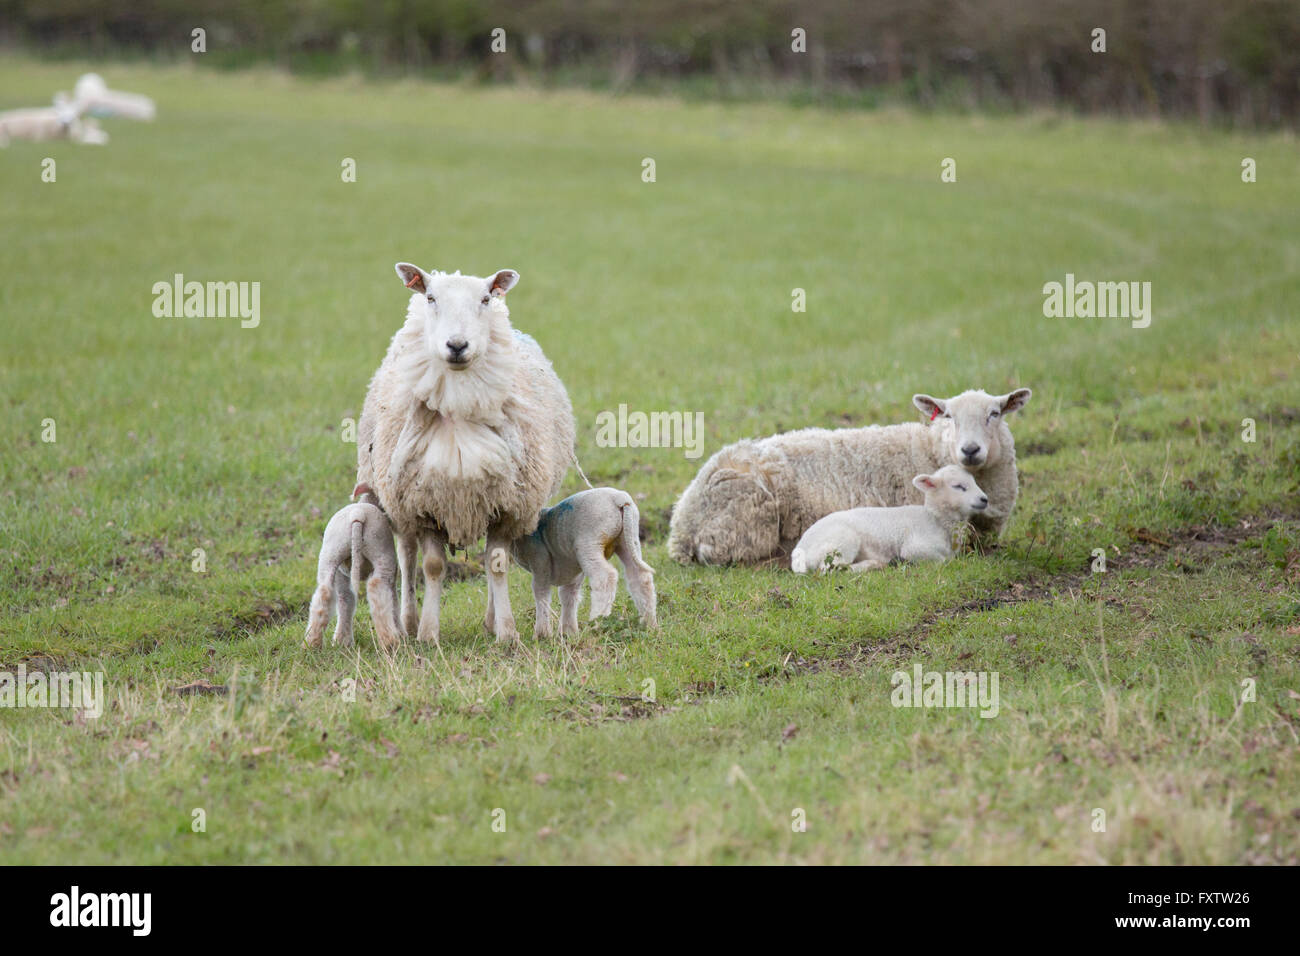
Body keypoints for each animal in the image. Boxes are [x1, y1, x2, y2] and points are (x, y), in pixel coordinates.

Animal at [304, 501, 403, 651]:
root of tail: (357, 514)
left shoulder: (340, 572)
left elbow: (346, 600)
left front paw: (341, 641)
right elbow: (394, 602)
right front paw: (402, 633)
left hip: (331, 555)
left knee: (327, 594)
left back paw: (313, 643)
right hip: (382, 554)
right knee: (377, 590)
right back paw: (390, 643)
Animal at [356, 263, 575, 645]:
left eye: (486, 299)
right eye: (430, 297)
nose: (457, 345)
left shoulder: (505, 505)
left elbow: (496, 564)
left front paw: (506, 632)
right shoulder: (423, 506)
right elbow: (432, 567)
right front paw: (428, 633)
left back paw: (489, 620)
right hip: (397, 502)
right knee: (406, 557)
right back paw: (408, 621)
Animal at [509, 487, 658, 637]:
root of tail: (620, 498)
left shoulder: (540, 560)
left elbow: (541, 593)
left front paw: (542, 634)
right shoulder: (572, 567)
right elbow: (568, 595)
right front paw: (568, 632)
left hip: (589, 542)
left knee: (605, 577)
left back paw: (597, 622)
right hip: (628, 538)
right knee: (640, 577)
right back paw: (649, 624)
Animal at [791, 466, 988, 573]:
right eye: (958, 486)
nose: (984, 499)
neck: (936, 519)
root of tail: (798, 552)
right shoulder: (915, 547)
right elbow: (944, 561)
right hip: (842, 541)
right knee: (832, 569)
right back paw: (874, 565)